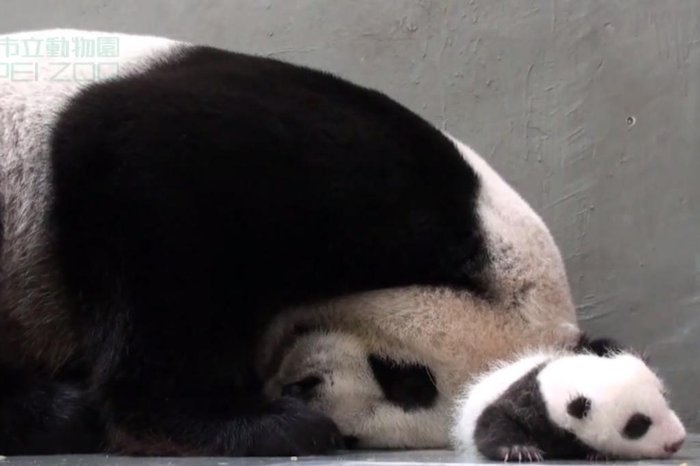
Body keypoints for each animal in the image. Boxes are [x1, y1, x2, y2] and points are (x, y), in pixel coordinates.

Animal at [0, 29, 578, 455]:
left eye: (361, 435)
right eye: (408, 381)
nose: (309, 392)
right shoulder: (357, 178)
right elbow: (141, 175)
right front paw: (246, 423)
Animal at [450, 346, 686, 461]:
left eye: (665, 399)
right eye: (637, 425)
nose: (677, 442)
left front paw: (597, 453)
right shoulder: (526, 401)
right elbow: (494, 419)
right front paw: (519, 450)